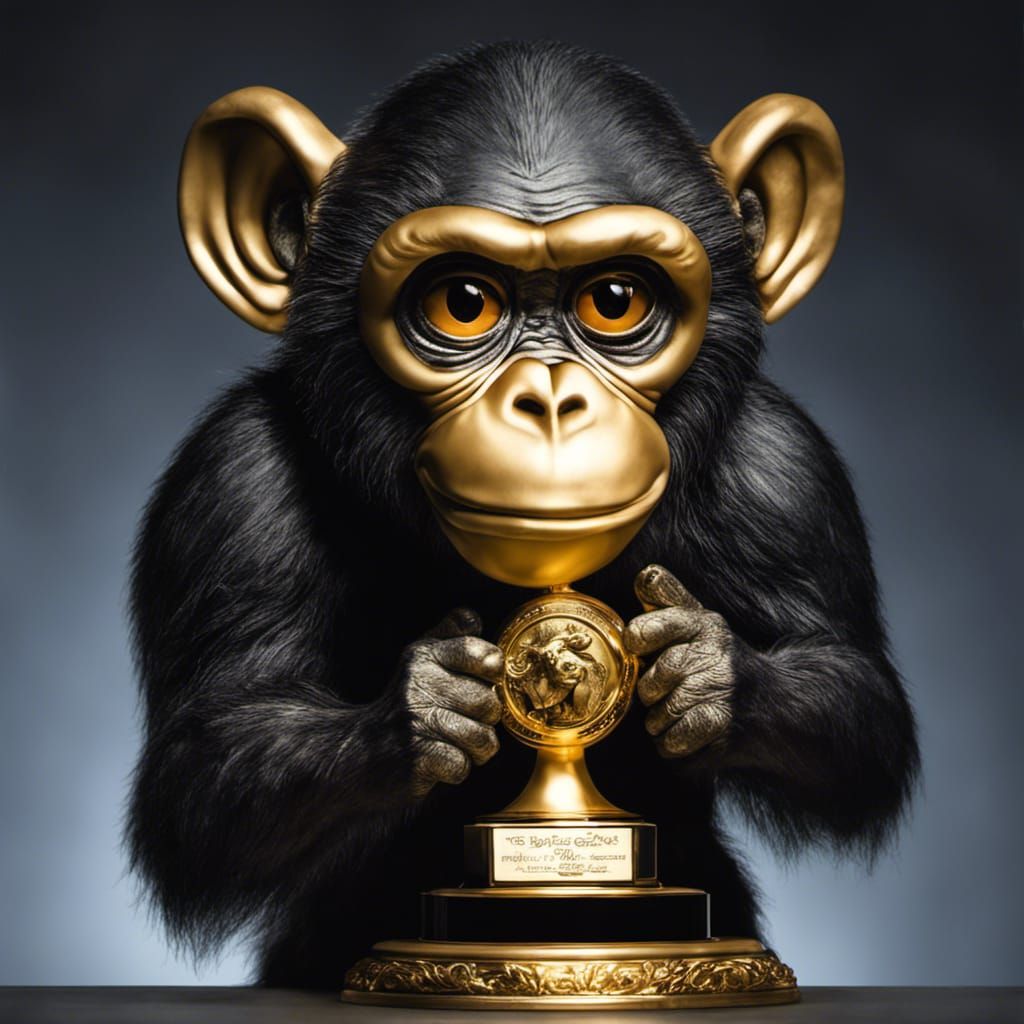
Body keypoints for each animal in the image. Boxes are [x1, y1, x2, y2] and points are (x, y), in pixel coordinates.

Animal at [127, 41, 919, 988]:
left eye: (613, 299)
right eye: (464, 303)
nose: (548, 401)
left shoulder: (784, 470)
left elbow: (852, 696)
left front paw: (706, 671)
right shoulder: (233, 482)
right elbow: (208, 759)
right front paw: (426, 707)